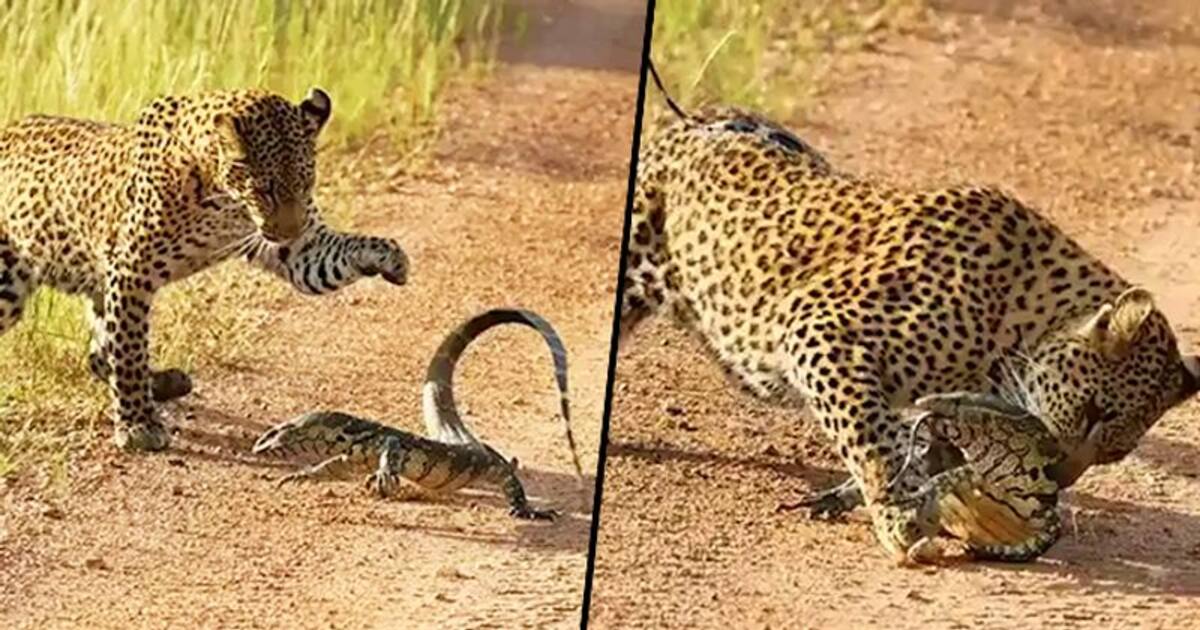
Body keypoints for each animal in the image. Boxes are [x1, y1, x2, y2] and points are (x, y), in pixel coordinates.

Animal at [0, 87, 409, 452]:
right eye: (266, 190)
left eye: (306, 184)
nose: (289, 230)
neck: (222, 197)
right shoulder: (130, 269)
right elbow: (130, 349)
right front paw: (137, 426)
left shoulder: (302, 250)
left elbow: (337, 253)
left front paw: (390, 256)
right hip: (10, 284)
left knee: (99, 354)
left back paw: (166, 383)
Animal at [620, 62, 1200, 563]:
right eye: (1093, 411)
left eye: (1114, 454)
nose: (1058, 476)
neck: (1012, 314)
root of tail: (699, 116)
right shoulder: (819, 327)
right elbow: (873, 437)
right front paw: (898, 515)